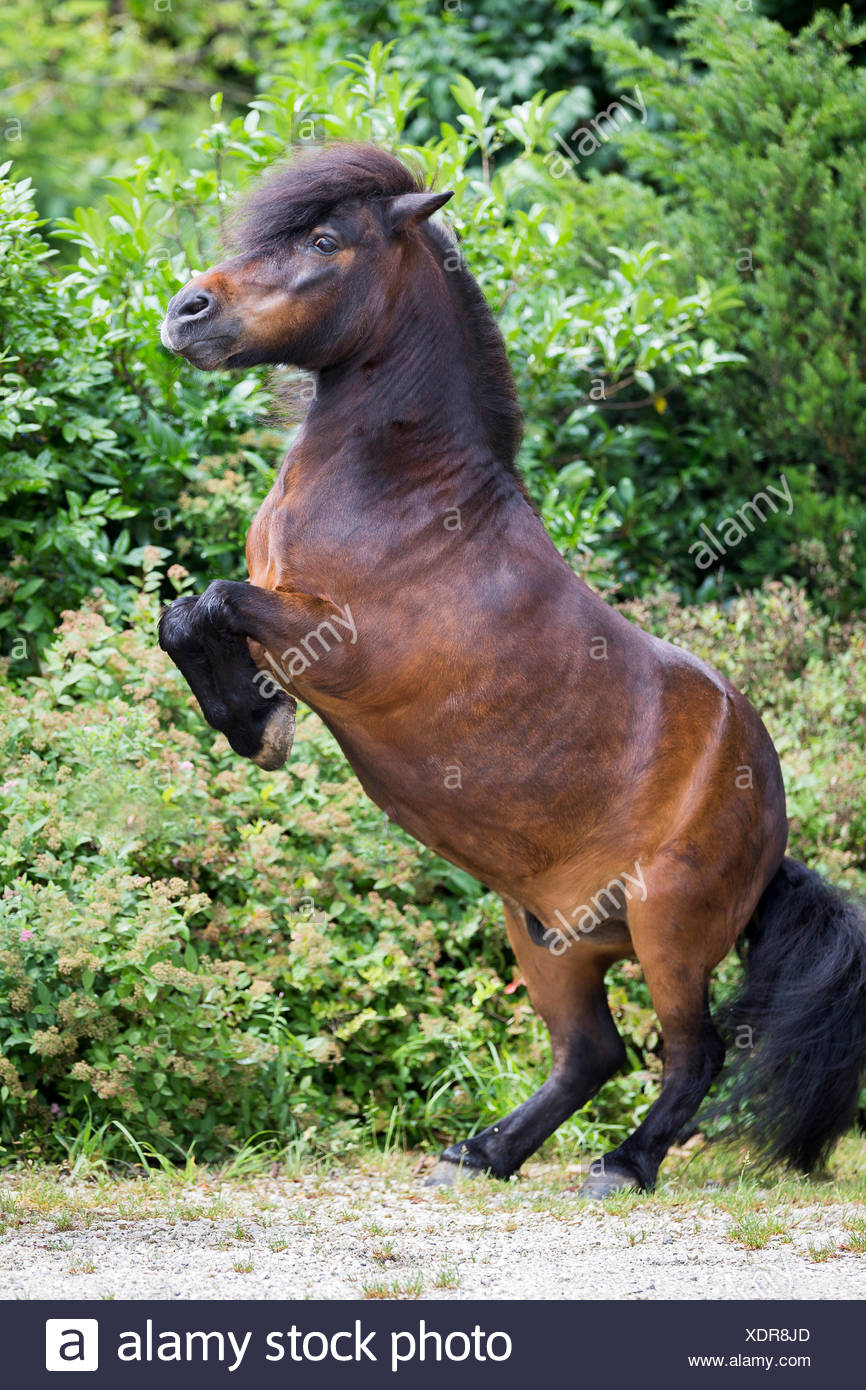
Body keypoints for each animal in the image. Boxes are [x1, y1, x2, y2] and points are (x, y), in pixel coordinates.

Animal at [158, 143, 866, 1195]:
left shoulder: (342, 647)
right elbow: (181, 615)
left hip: (670, 927)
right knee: (591, 1053)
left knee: (690, 1054)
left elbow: (212, 602)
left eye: (324, 240)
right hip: (546, 933)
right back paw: (481, 1152)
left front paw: (259, 726)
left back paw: (623, 1165)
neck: (408, 497)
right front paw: (249, 720)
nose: (186, 312)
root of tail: (773, 833)